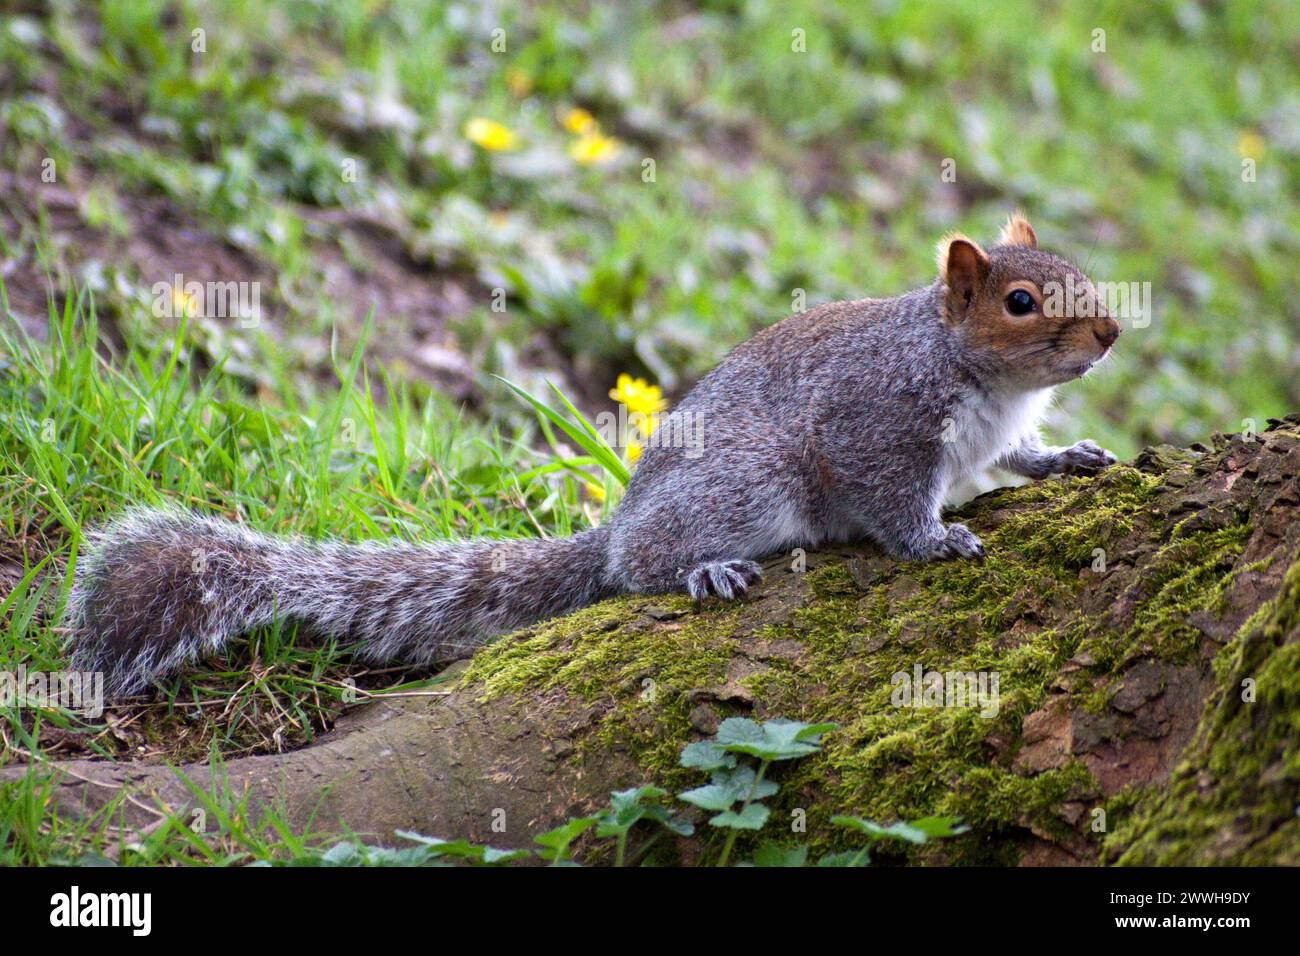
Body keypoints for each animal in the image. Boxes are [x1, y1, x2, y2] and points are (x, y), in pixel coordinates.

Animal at [66, 214, 1121, 697]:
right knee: (635, 564)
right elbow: (894, 500)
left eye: (1080, 270)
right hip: (747, 483)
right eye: (1021, 302)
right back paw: (699, 569)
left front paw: (1069, 455)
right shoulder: (877, 423)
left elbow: (1021, 459)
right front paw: (935, 541)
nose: (1111, 332)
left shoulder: (995, 435)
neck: (977, 374)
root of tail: (617, 522)